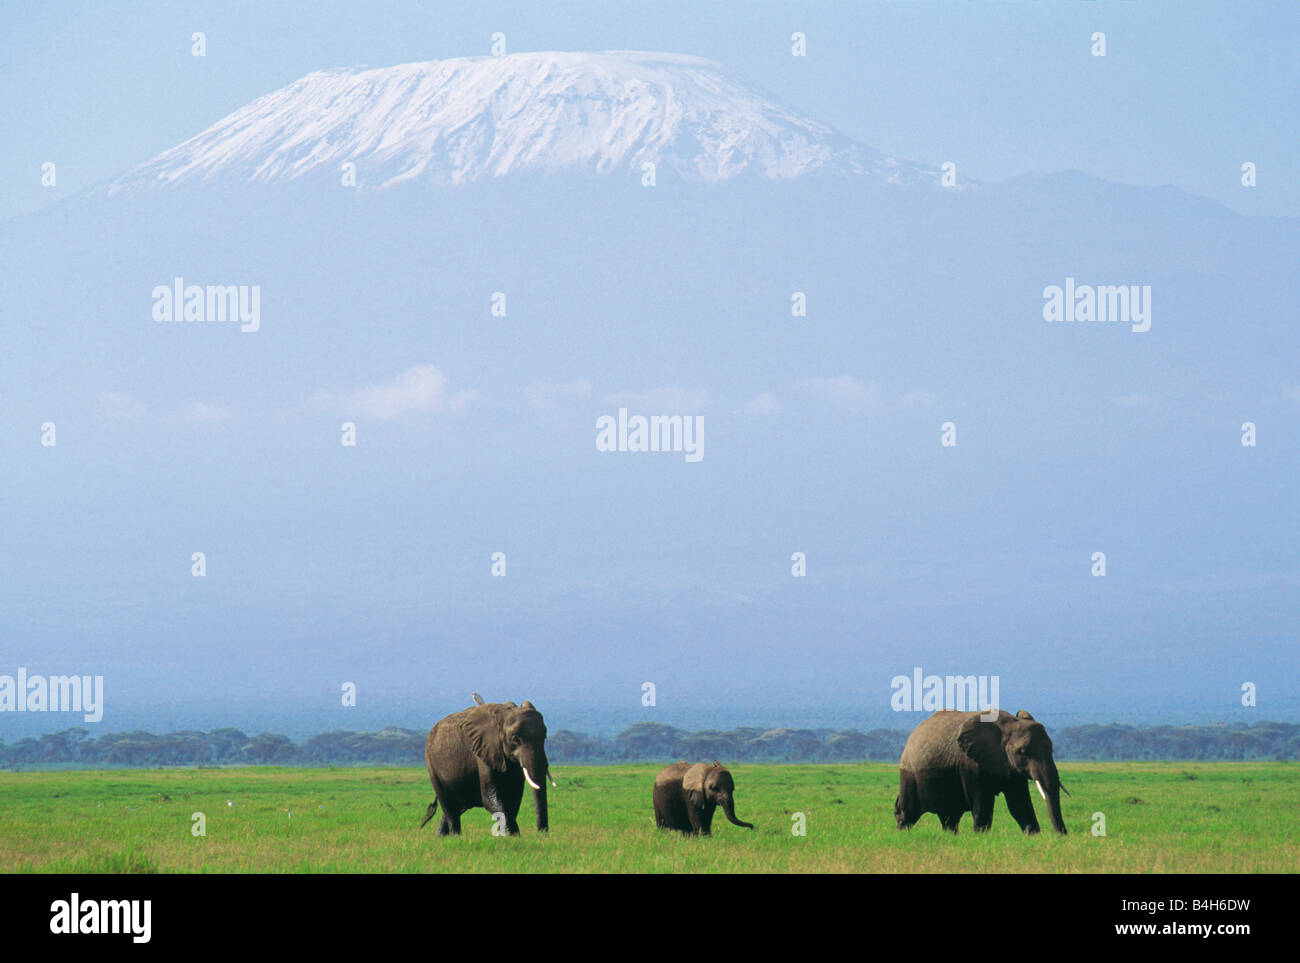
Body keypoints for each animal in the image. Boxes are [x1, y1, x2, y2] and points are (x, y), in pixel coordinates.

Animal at [420, 697, 555, 836]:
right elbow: (489, 798)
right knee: (448, 805)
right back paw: (455, 836)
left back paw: (440, 836)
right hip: (431, 763)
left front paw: (511, 834)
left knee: (457, 807)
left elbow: (514, 796)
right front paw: (511, 834)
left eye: (544, 736)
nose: (542, 832)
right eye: (515, 739)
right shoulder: (483, 749)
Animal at [894, 709, 1068, 835]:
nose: (1062, 835)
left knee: (949, 817)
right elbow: (982, 803)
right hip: (909, 774)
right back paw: (902, 834)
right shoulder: (971, 764)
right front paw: (980, 836)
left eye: (1052, 749)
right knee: (908, 814)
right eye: (1023, 752)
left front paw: (1033, 835)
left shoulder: (1010, 766)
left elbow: (1019, 804)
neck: (1006, 725)